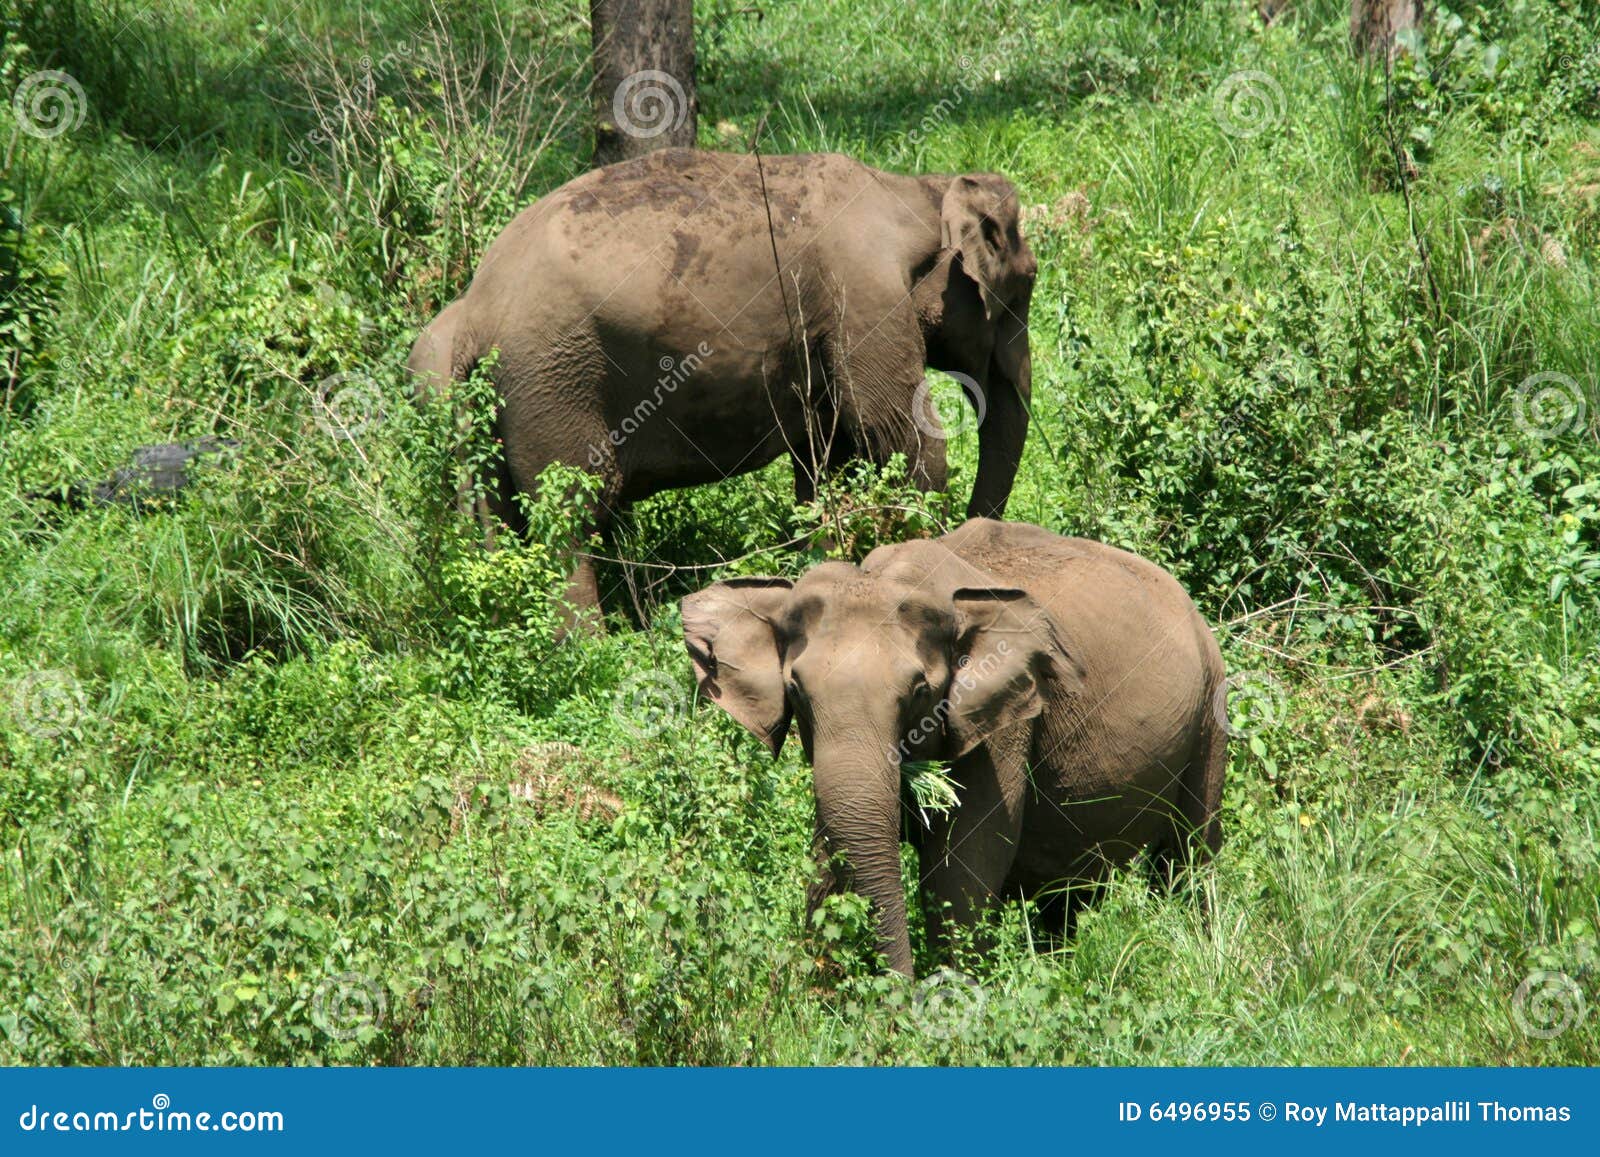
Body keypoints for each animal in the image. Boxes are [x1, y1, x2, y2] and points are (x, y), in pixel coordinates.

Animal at [408, 148, 1037, 618]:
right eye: (1027, 282)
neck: (915, 188)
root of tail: (474, 308)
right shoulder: (864, 296)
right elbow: (903, 444)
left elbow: (826, 459)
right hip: (553, 378)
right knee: (570, 518)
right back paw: (590, 649)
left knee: (501, 522)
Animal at [680, 519, 1226, 976]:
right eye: (795, 691)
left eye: (919, 691)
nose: (903, 998)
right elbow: (830, 855)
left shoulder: (1003, 724)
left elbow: (962, 867)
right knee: (1068, 895)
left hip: (1210, 709)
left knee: (1189, 856)